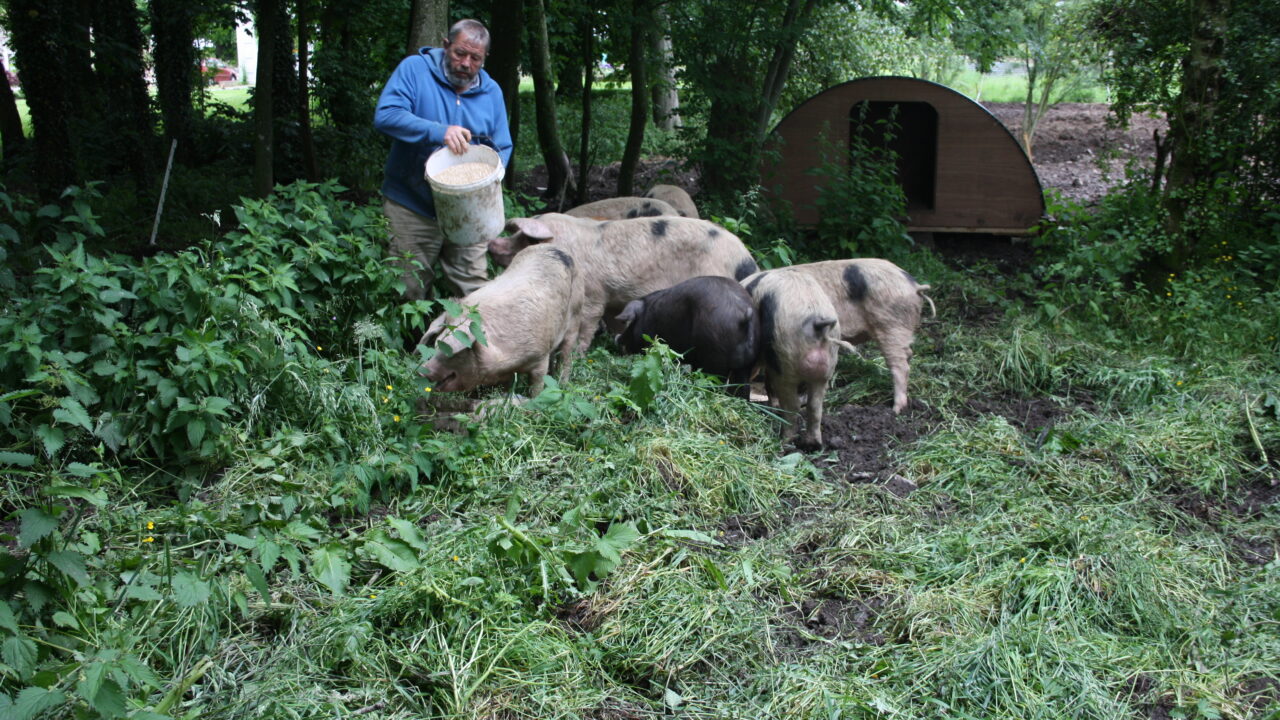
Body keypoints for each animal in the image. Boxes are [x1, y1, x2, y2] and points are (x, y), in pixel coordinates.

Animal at [418, 243, 584, 397]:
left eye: (451, 352)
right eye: (436, 344)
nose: (422, 371)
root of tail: (556, 247)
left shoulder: (540, 356)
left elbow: (536, 385)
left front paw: (534, 400)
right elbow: (506, 388)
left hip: (575, 316)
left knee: (566, 355)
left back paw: (562, 385)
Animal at [488, 213, 759, 353]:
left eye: (527, 239)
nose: (493, 244)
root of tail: (747, 261)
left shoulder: (593, 294)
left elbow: (587, 322)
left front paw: (578, 352)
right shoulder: (612, 299)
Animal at [613, 276, 761, 396]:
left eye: (630, 324)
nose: (617, 338)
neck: (646, 315)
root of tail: (743, 317)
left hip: (714, 358)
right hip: (746, 365)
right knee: (743, 388)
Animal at [744, 268, 856, 448]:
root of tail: (817, 323)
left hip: (787, 362)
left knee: (792, 405)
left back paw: (785, 441)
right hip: (826, 369)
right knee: (815, 406)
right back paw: (813, 444)